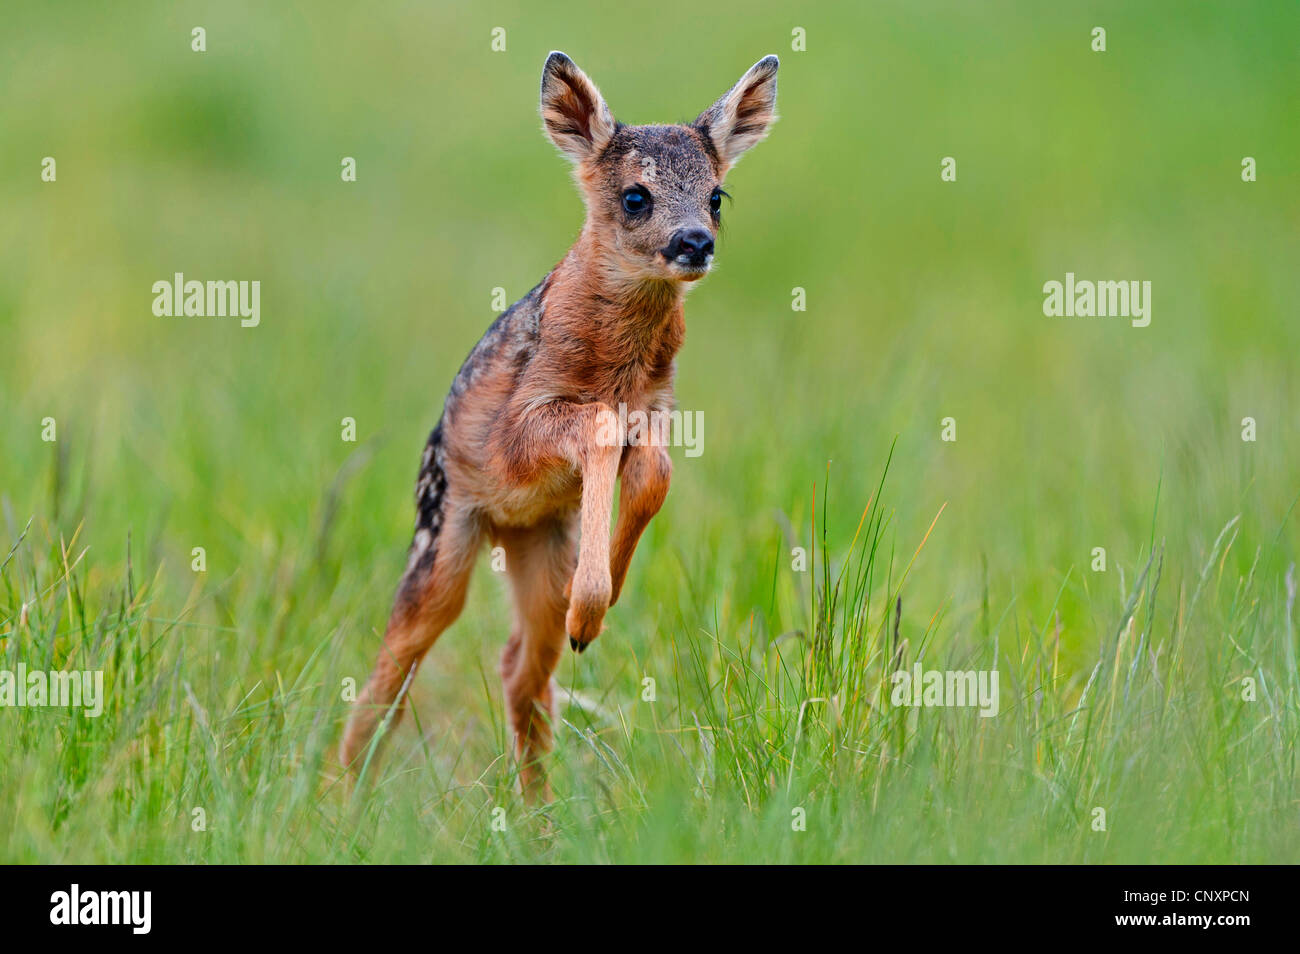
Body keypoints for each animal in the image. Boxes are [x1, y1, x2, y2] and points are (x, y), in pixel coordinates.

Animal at [341, 50, 779, 799]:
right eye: (635, 197)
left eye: (718, 196)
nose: (694, 241)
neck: (616, 365)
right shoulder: (521, 426)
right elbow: (597, 427)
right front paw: (594, 602)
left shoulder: (657, 414)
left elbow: (656, 473)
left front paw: (595, 607)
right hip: (442, 539)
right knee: (396, 662)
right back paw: (336, 794)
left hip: (540, 550)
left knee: (520, 667)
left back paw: (539, 809)